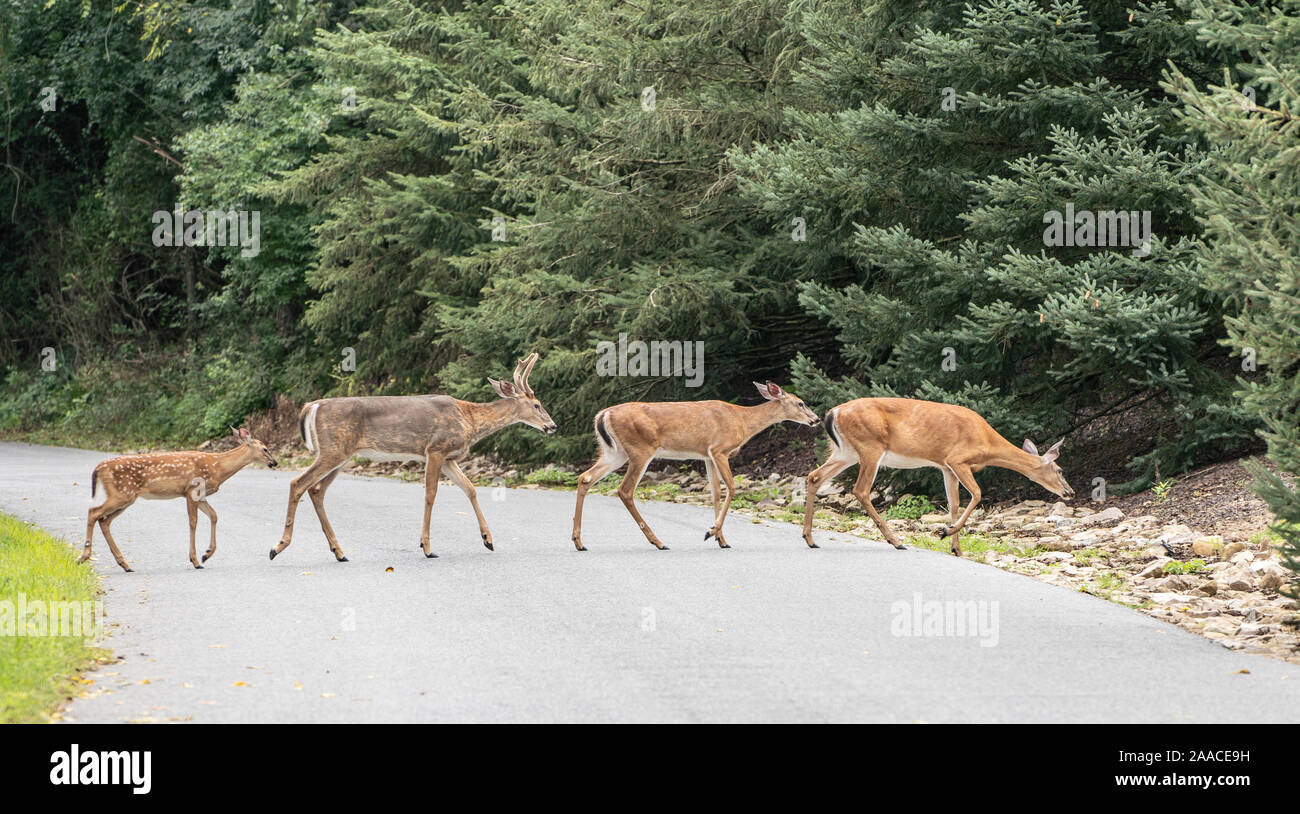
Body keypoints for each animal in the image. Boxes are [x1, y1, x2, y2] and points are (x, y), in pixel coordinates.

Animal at [79, 427, 278, 572]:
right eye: (265, 448)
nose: (275, 463)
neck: (218, 467)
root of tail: (99, 467)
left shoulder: (201, 495)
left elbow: (214, 516)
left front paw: (207, 554)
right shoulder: (192, 490)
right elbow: (193, 522)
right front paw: (195, 560)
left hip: (125, 498)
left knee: (104, 520)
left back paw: (125, 565)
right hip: (122, 493)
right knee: (93, 512)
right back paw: (84, 556)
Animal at [271, 352, 556, 563]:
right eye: (537, 404)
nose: (552, 426)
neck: (471, 420)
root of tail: (312, 406)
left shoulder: (450, 458)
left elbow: (471, 489)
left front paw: (488, 540)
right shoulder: (435, 449)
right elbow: (430, 494)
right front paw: (427, 547)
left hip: (341, 455)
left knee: (316, 490)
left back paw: (339, 552)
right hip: (334, 449)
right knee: (298, 483)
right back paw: (278, 546)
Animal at [571, 381, 821, 551]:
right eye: (800, 403)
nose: (816, 419)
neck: (742, 421)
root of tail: (603, 414)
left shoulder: (707, 456)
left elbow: (716, 493)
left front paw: (721, 539)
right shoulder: (720, 449)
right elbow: (732, 488)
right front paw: (711, 532)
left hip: (615, 452)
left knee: (585, 478)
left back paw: (578, 541)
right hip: (640, 449)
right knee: (625, 490)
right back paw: (658, 541)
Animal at [800, 398, 1074, 555]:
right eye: (1060, 470)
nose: (1070, 492)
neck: (987, 444)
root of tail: (832, 414)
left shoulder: (945, 467)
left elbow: (954, 503)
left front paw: (956, 548)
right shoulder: (957, 459)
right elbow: (977, 494)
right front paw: (945, 532)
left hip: (846, 451)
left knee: (814, 477)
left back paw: (810, 539)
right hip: (870, 446)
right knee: (861, 490)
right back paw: (896, 541)